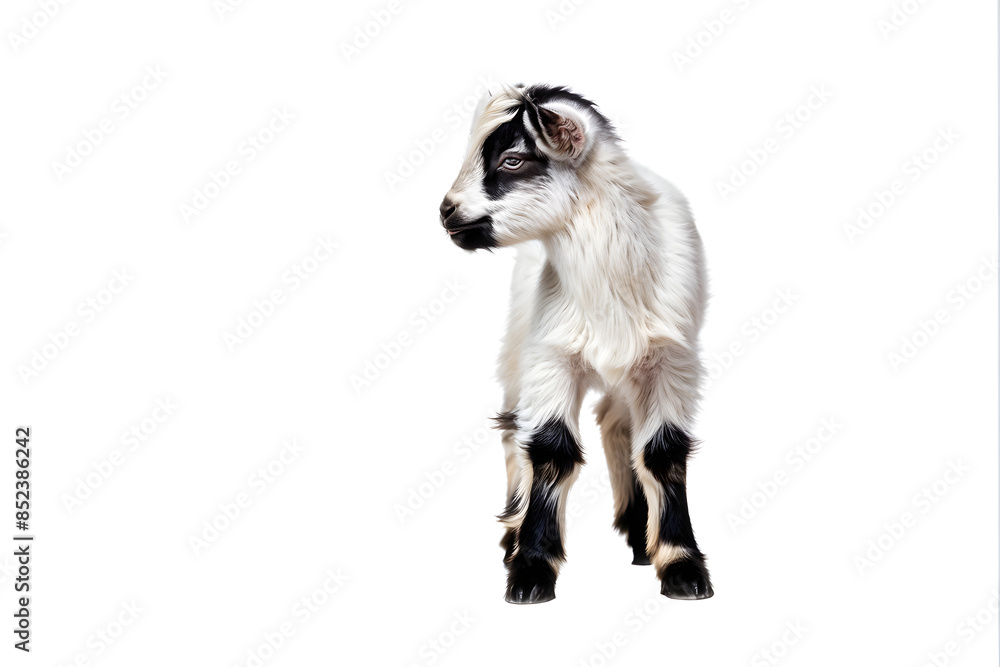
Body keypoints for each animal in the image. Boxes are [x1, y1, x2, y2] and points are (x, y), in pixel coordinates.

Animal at [439, 83, 713, 604]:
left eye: (511, 159)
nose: (445, 209)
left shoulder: (670, 362)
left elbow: (662, 453)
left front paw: (682, 567)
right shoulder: (551, 357)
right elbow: (551, 451)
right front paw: (531, 569)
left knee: (615, 423)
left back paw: (638, 534)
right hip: (518, 346)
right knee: (513, 431)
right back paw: (513, 532)